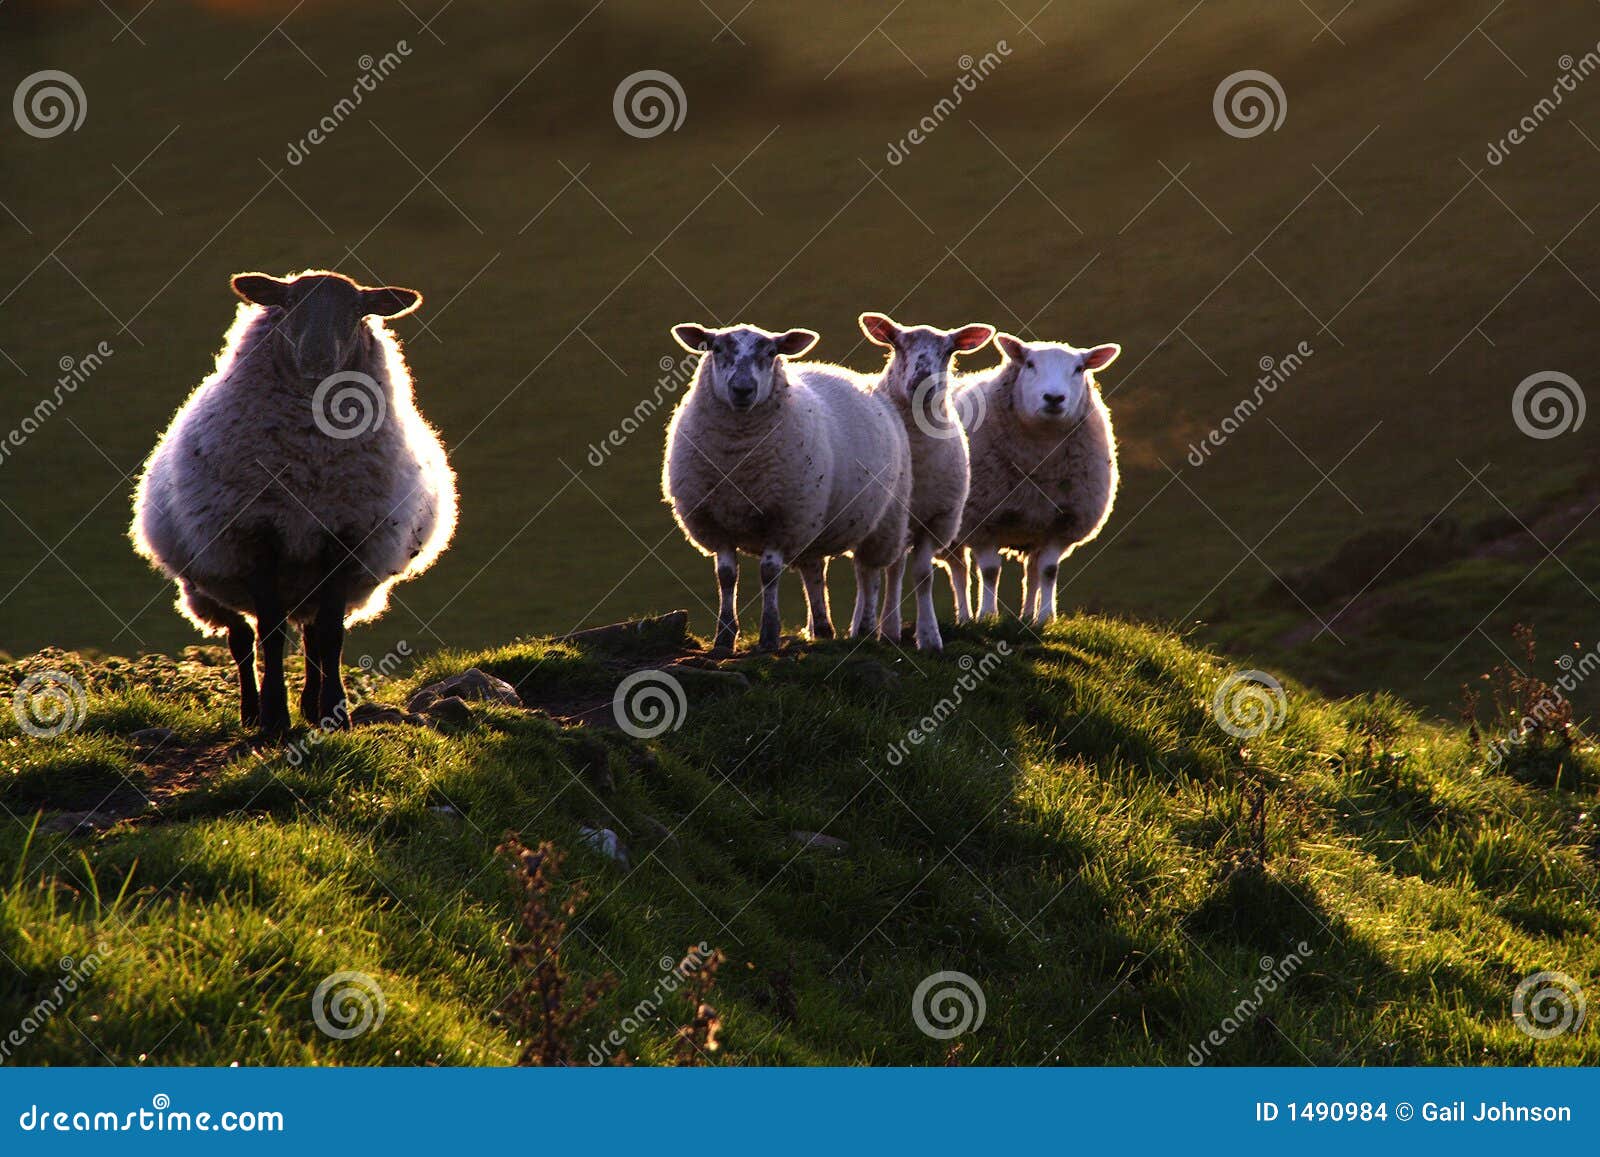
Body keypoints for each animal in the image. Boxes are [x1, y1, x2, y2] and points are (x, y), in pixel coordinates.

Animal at [130, 270, 457, 734]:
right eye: (287, 304)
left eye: (358, 310)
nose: (317, 360)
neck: (309, 463)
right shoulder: (258, 537)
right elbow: (269, 635)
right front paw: (273, 718)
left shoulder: (344, 538)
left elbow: (330, 637)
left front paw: (334, 713)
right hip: (211, 582)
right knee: (242, 640)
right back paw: (251, 711)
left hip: (310, 584)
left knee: (311, 636)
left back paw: (310, 704)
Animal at [662, 323, 912, 652]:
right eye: (716, 349)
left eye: (771, 353)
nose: (742, 389)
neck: (737, 461)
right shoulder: (715, 523)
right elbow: (726, 577)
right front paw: (724, 638)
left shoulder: (782, 519)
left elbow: (768, 574)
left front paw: (769, 636)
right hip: (812, 524)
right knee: (814, 572)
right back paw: (823, 628)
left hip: (885, 520)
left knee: (869, 574)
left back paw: (866, 630)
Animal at [858, 313, 994, 651]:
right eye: (897, 344)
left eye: (947, 351)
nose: (922, 380)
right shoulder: (894, 521)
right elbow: (889, 572)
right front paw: (889, 630)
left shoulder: (937, 520)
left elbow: (922, 576)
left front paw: (930, 636)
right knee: (872, 573)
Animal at [946, 332, 1122, 625]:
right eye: (1029, 364)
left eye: (1079, 369)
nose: (1054, 397)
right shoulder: (982, 521)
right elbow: (990, 571)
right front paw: (987, 615)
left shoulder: (1061, 522)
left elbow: (1048, 571)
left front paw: (1046, 618)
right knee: (958, 569)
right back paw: (966, 617)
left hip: (1034, 527)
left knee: (1031, 571)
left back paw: (1027, 615)